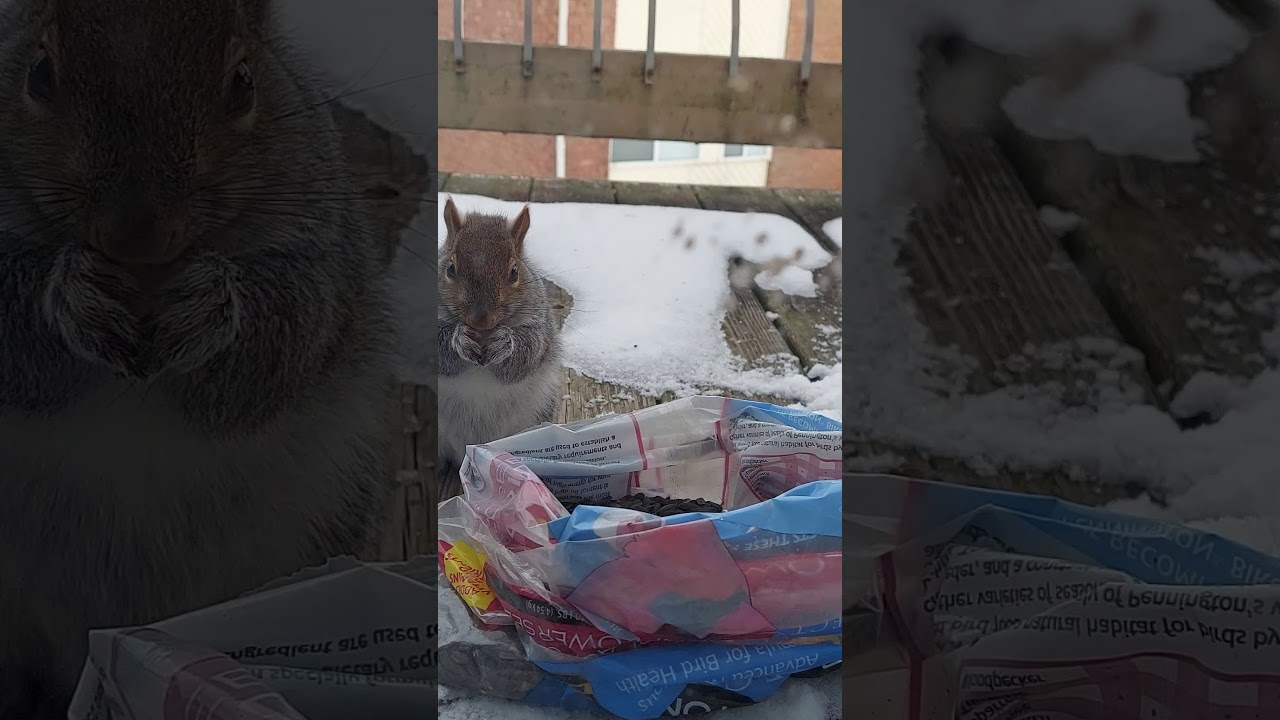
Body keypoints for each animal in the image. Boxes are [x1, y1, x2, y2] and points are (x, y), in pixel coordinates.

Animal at [0, 0, 397, 716]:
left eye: (243, 83)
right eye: (38, 74)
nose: (136, 231)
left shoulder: (323, 260)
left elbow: (283, 345)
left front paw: (210, 306)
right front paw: (72, 296)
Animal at [437, 197, 562, 500]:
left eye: (514, 272)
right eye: (450, 269)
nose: (481, 320)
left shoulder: (539, 328)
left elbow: (524, 358)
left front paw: (505, 343)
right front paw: (459, 340)